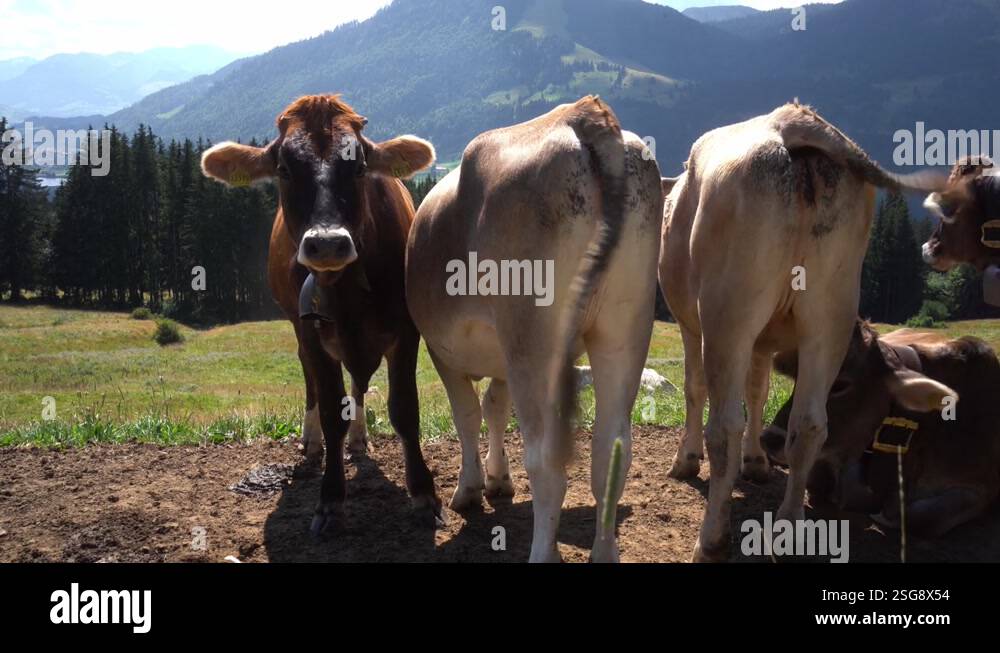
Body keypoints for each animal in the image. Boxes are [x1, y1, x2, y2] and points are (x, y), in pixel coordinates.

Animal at [201, 94, 443, 533]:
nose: (327, 243)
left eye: (360, 166)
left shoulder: (405, 330)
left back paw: (360, 439)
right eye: (283, 169)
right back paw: (312, 442)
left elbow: (404, 408)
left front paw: (422, 492)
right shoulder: (312, 333)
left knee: (359, 386)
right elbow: (332, 411)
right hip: (300, 330)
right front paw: (330, 498)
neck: (346, 292)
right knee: (312, 382)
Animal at [406, 96, 663, 562]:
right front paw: (497, 481)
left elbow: (467, 414)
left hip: (533, 340)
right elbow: (494, 407)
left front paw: (470, 488)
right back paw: (604, 551)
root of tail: (579, 114)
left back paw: (544, 551)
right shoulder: (502, 358)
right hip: (624, 327)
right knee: (611, 451)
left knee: (546, 461)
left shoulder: (440, 349)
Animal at [659, 102, 948, 562]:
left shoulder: (691, 324)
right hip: (831, 316)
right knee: (810, 424)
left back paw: (712, 538)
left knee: (724, 426)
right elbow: (758, 392)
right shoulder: (763, 344)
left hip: (728, 312)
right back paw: (791, 525)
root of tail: (795, 123)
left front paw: (686, 460)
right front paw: (757, 462)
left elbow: (695, 388)